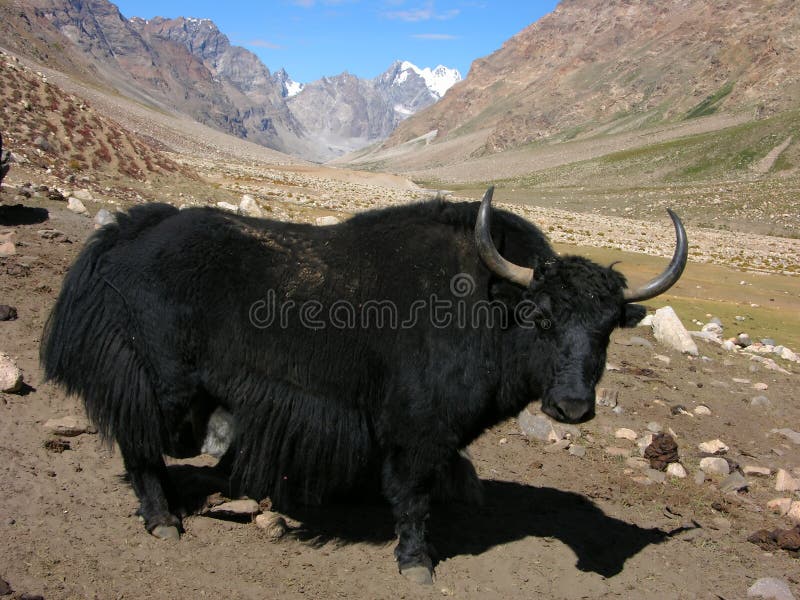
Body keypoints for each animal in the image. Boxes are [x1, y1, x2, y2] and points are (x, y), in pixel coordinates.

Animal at [41, 187, 687, 584]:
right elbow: (413, 493)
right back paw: (163, 520)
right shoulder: (419, 427)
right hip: (160, 381)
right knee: (142, 445)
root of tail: (126, 231)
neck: (492, 306)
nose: (573, 408)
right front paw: (416, 561)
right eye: (543, 317)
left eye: (607, 328)